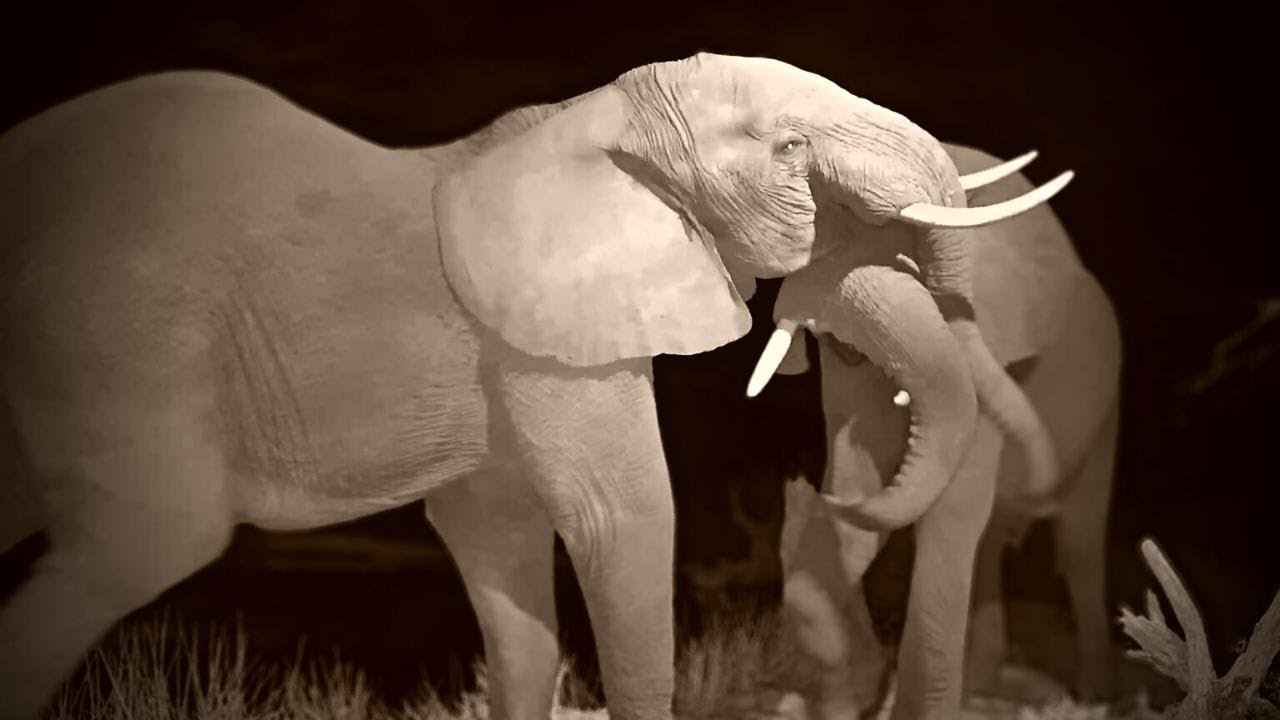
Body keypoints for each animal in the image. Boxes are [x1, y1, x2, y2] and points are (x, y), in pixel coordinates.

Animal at [0, 53, 1069, 720]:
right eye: (791, 151)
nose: (819, 480)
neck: (595, 114)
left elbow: (498, 538)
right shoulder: (551, 344)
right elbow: (619, 516)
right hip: (118, 336)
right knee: (151, 539)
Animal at [769, 144, 1122, 718]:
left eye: (914, 257)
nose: (801, 482)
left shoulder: (993, 342)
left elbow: (948, 513)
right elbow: (862, 486)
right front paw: (853, 691)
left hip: (1107, 409)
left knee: (1078, 542)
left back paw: (1096, 696)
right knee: (993, 538)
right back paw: (980, 686)